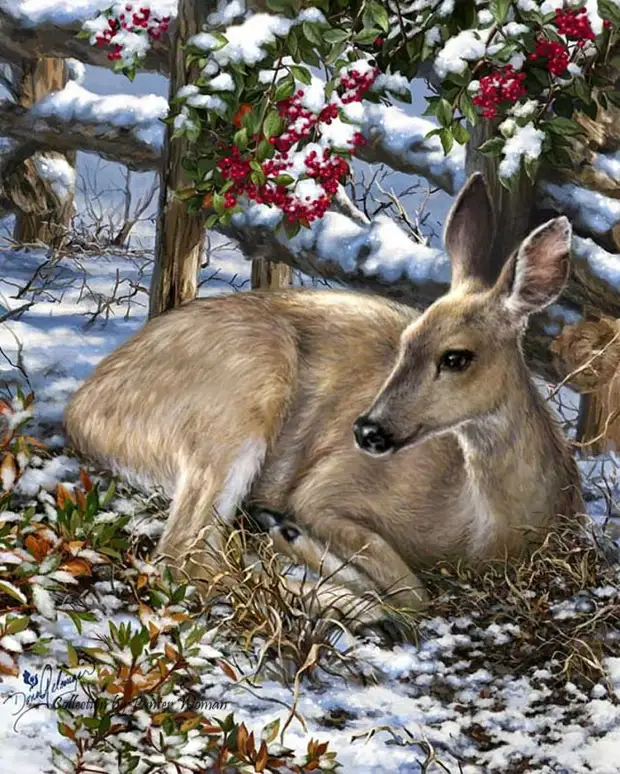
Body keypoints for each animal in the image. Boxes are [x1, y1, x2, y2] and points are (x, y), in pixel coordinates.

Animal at [65, 174, 584, 636]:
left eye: (456, 357)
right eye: (405, 343)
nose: (367, 430)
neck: (489, 531)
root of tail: (80, 410)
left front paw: (292, 540)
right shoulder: (327, 489)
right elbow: (414, 591)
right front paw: (303, 545)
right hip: (239, 400)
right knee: (182, 555)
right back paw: (357, 607)